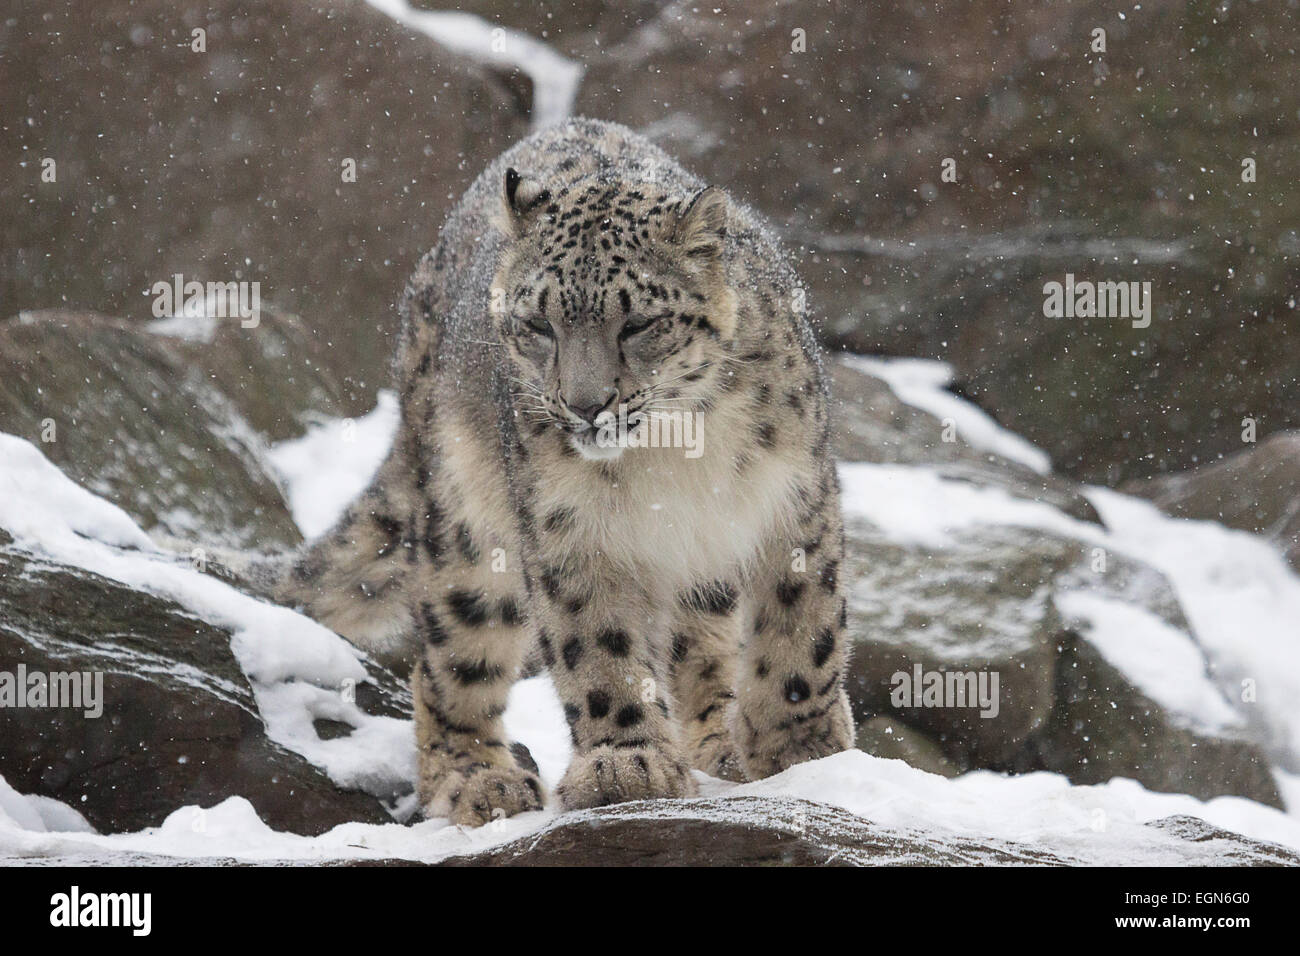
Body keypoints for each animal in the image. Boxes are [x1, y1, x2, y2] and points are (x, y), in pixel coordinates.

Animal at [272, 118, 855, 826]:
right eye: (539, 323)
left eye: (639, 322)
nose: (583, 403)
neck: (674, 452)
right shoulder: (569, 528)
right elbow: (598, 646)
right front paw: (626, 766)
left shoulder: (794, 498)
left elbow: (802, 628)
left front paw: (803, 748)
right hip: (466, 525)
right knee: (450, 656)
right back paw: (477, 778)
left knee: (702, 642)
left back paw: (719, 743)